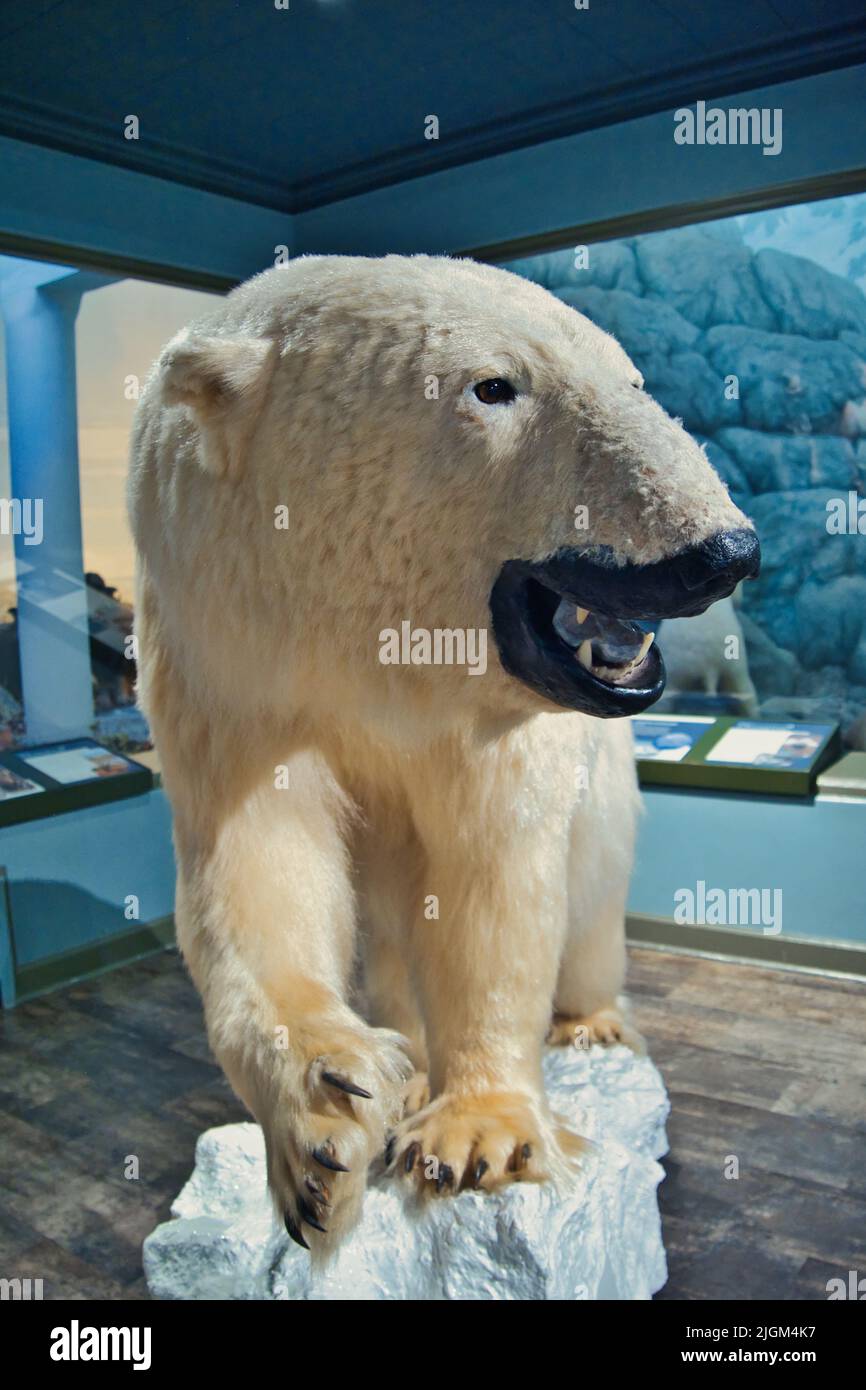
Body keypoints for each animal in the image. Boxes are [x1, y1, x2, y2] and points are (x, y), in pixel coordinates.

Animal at [127, 254, 759, 1251]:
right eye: (493, 386)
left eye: (631, 380)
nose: (721, 549)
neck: (364, 648)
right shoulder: (227, 659)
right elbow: (258, 857)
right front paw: (325, 1117)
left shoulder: (487, 715)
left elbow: (492, 875)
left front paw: (478, 1135)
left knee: (592, 894)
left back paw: (592, 1024)